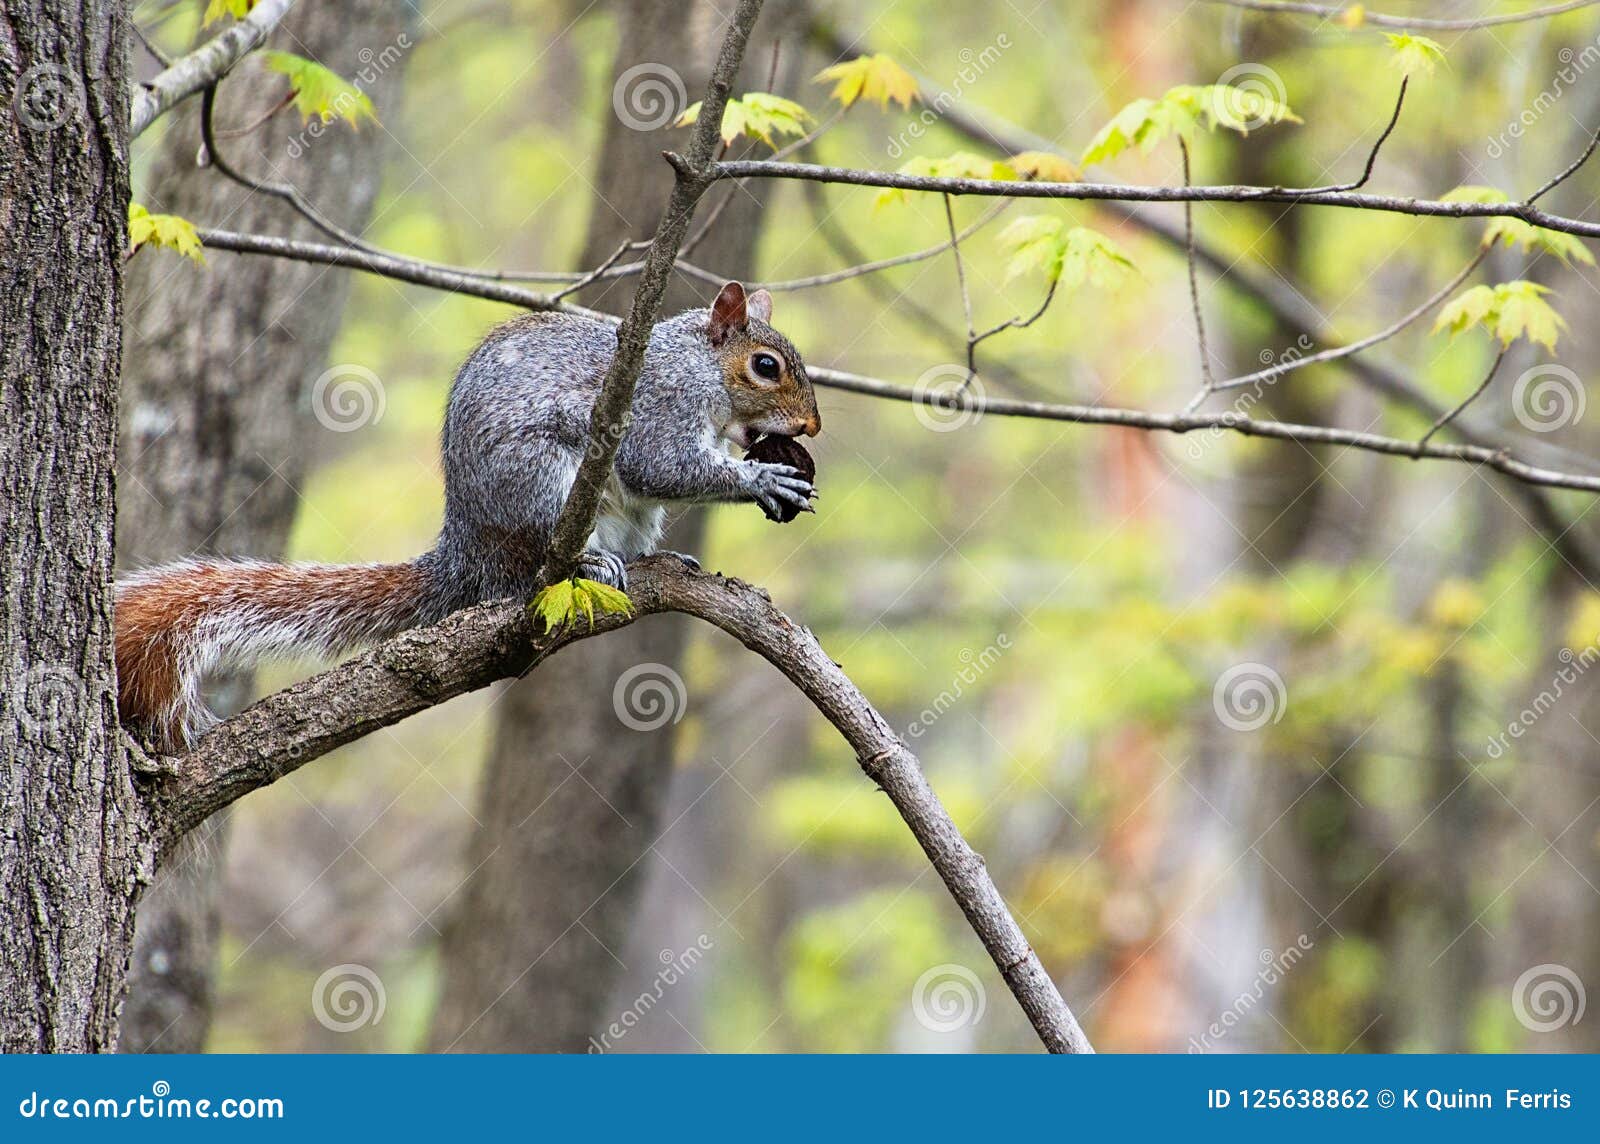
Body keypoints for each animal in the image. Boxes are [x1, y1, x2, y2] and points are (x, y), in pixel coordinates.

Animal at [115, 281, 820, 750]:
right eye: (765, 367)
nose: (812, 427)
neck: (698, 366)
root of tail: (467, 553)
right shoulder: (654, 406)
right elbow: (662, 466)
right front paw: (763, 478)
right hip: (540, 484)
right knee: (537, 567)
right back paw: (588, 561)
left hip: (628, 516)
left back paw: (653, 557)